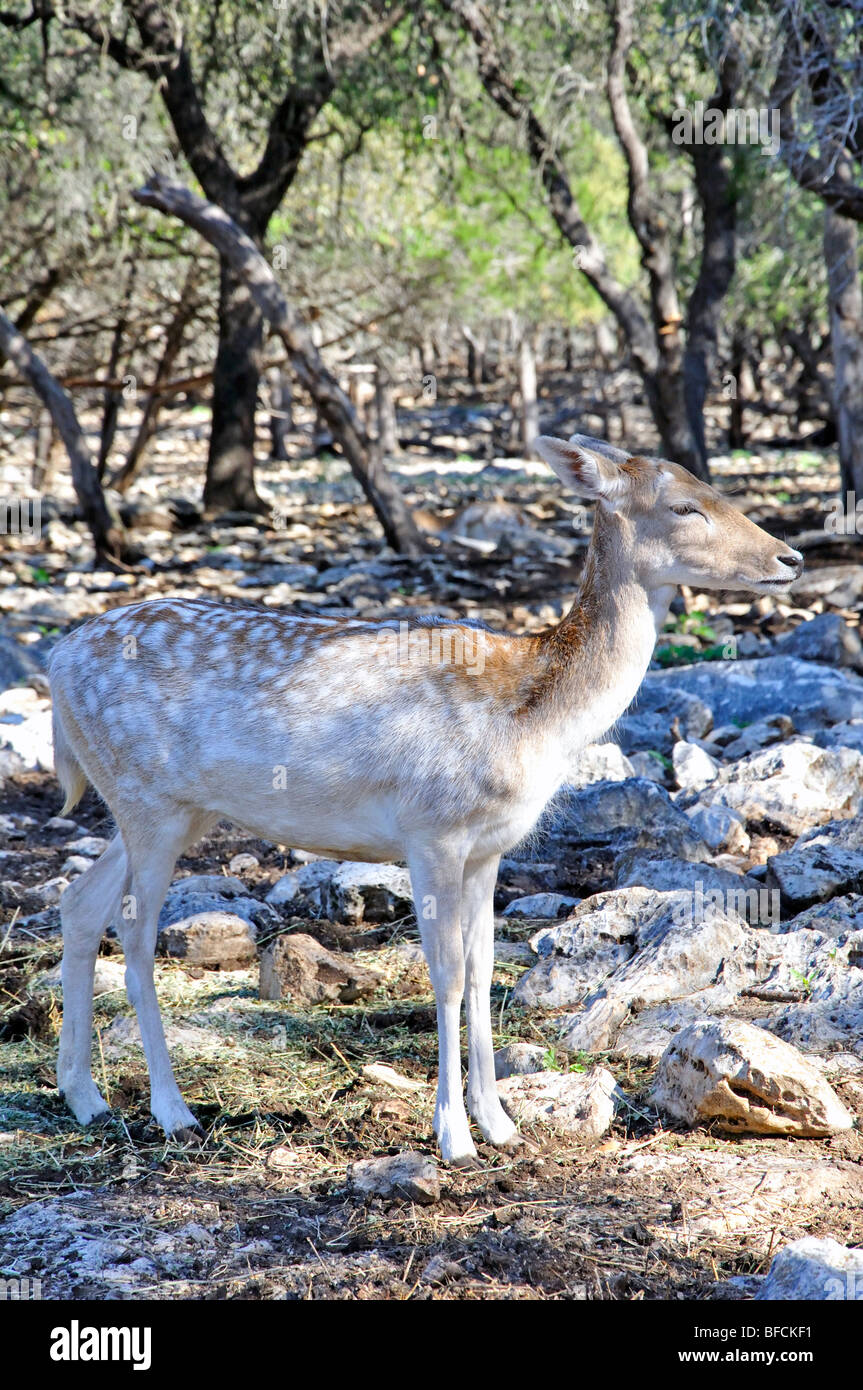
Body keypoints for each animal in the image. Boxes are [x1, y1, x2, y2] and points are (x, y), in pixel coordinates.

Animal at [49, 435, 803, 1165]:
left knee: (80, 901)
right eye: (683, 507)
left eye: (713, 487)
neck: (537, 722)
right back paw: (171, 1111)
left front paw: (499, 1125)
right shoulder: (431, 830)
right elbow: (444, 977)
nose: (789, 556)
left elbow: (482, 972)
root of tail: (55, 663)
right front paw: (454, 1138)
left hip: (168, 805)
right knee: (134, 934)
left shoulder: (489, 848)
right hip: (147, 798)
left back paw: (86, 1098)